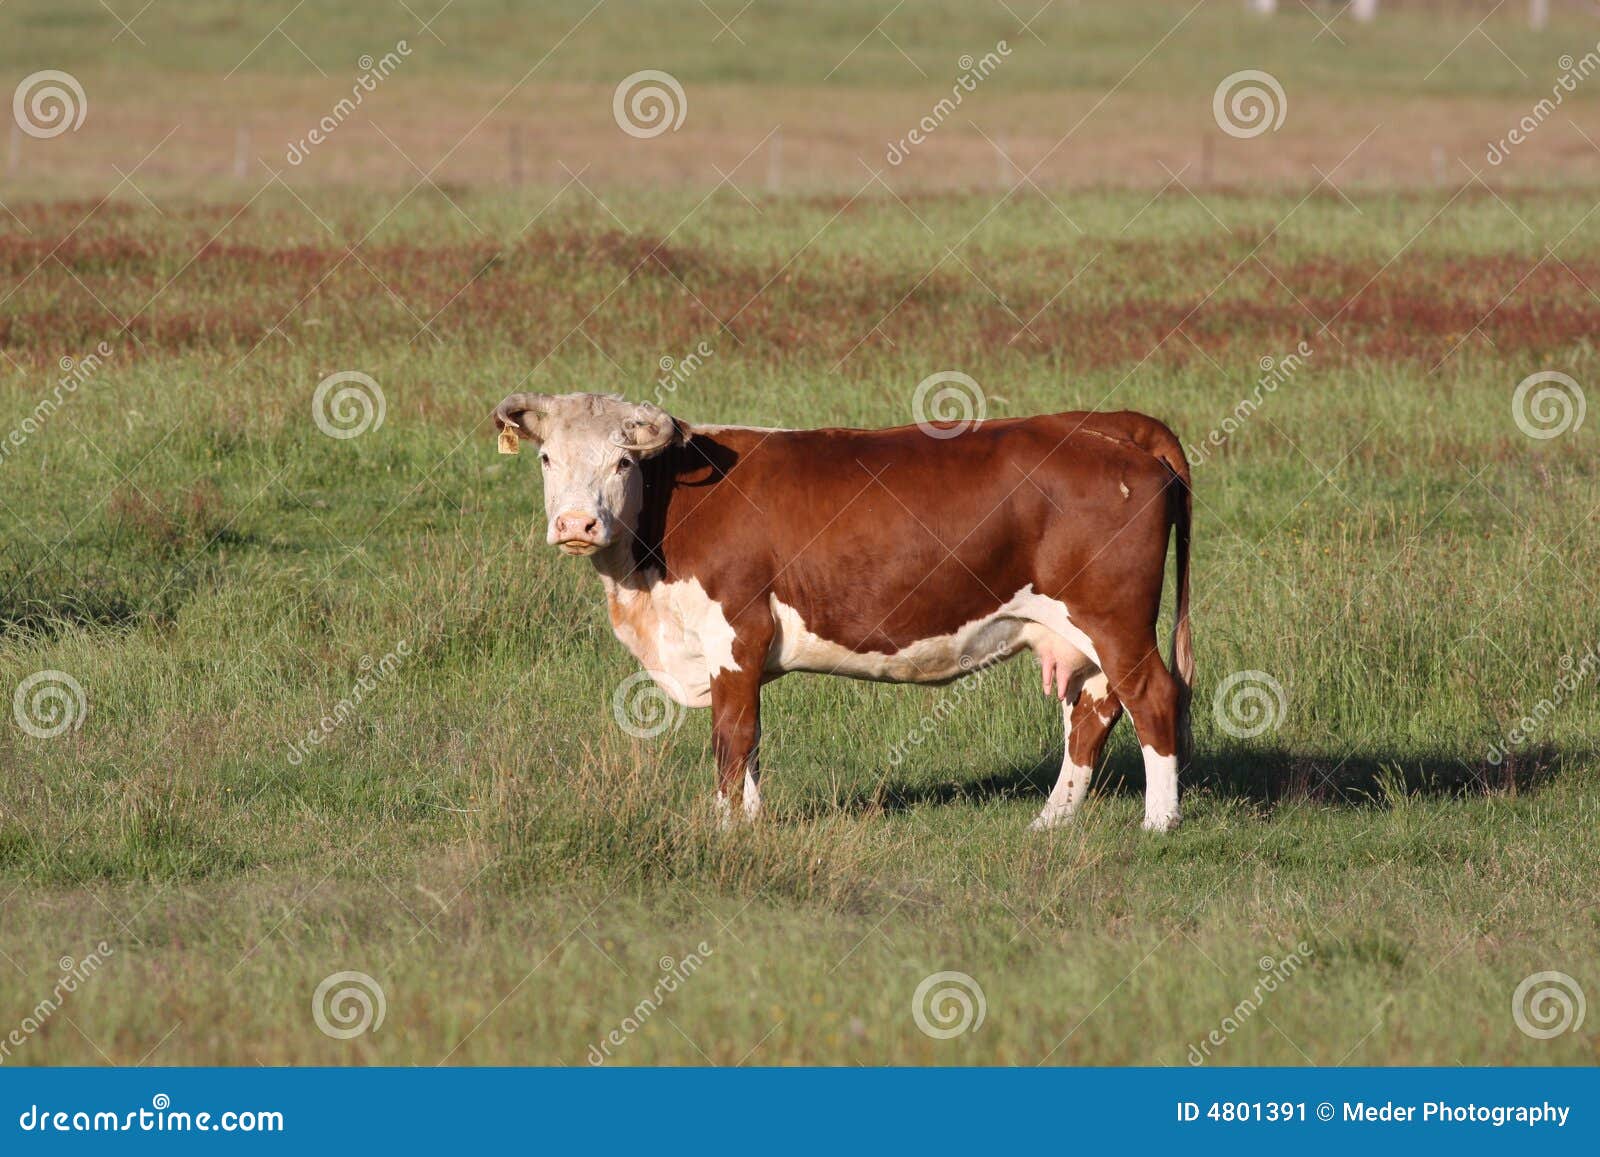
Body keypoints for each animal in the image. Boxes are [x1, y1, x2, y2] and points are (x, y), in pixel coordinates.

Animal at [493, 392, 1193, 832]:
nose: (576, 524)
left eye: (622, 461)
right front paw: (753, 825)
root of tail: (1109, 424)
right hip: (1084, 632)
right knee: (1094, 712)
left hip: (1115, 619)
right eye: (547, 458)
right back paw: (1049, 822)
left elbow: (732, 737)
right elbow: (750, 742)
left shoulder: (735, 634)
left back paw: (1158, 824)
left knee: (1153, 697)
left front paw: (723, 831)